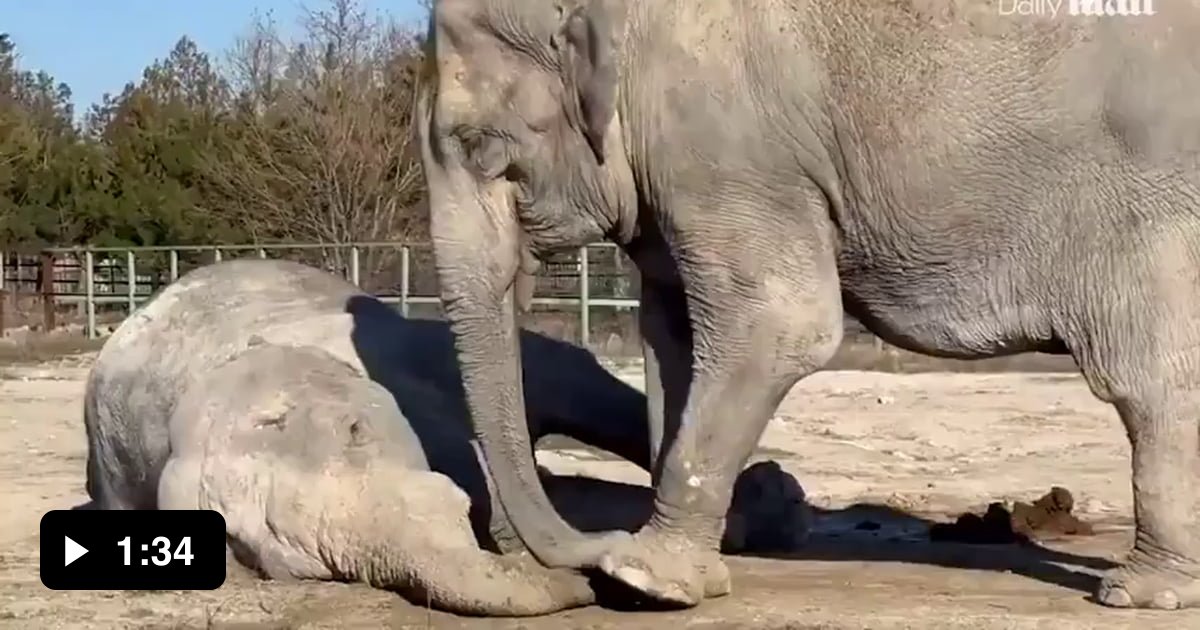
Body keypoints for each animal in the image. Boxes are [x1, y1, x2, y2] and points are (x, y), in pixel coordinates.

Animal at [417, 0, 1200, 612]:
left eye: (479, 148)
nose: (576, 561)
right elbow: (672, 339)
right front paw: (695, 561)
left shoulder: (721, 142)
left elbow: (780, 320)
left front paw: (643, 578)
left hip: (1148, 207)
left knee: (1148, 379)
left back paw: (1139, 594)